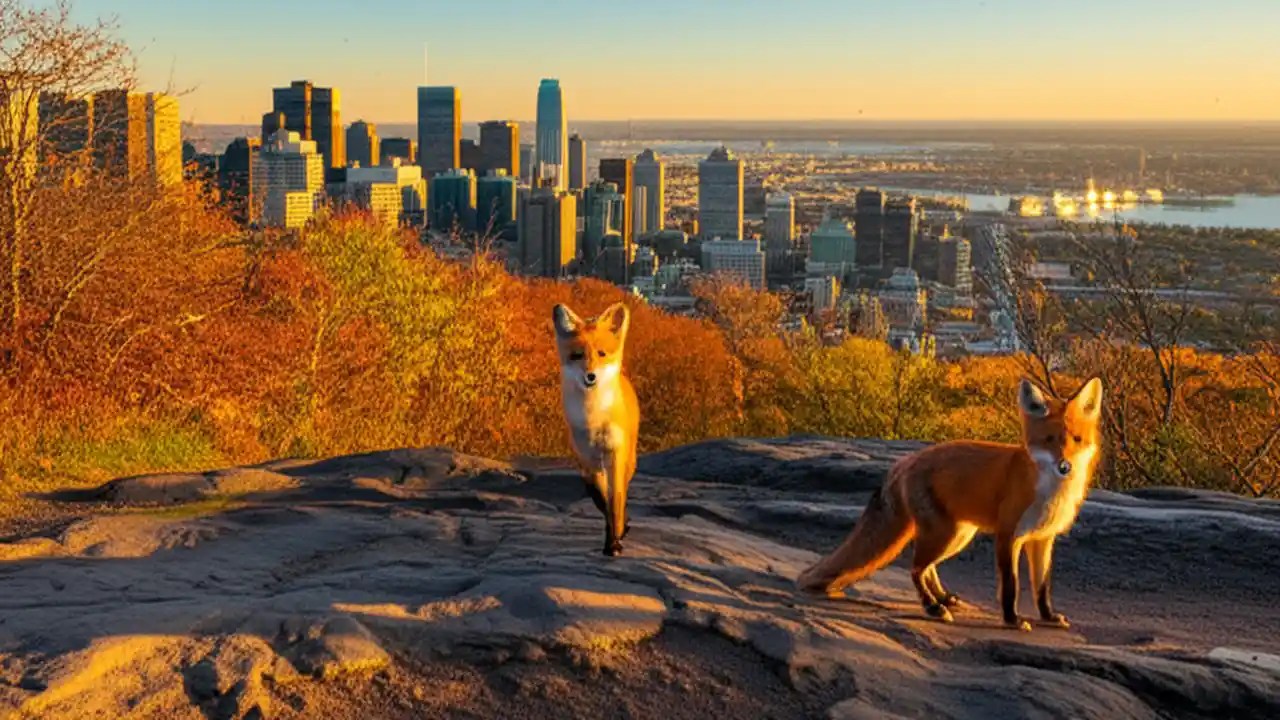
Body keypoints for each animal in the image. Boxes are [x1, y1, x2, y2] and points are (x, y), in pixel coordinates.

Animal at [552, 302, 641, 557]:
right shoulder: (587, 460)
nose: (590, 376)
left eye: (601, 354)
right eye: (577, 356)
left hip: (629, 459)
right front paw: (611, 539)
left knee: (624, 491)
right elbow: (600, 500)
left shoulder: (615, 453)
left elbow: (616, 501)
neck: (593, 420)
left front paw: (615, 540)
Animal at [797, 377, 1104, 631]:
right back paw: (932, 607)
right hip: (945, 534)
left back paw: (942, 597)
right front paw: (1012, 620)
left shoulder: (1043, 539)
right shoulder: (1008, 535)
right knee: (915, 568)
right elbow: (1011, 586)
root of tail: (904, 462)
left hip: (957, 536)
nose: (1064, 466)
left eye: (1076, 439)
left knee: (927, 567)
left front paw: (1048, 617)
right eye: (1049, 440)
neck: (1047, 490)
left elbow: (1042, 587)